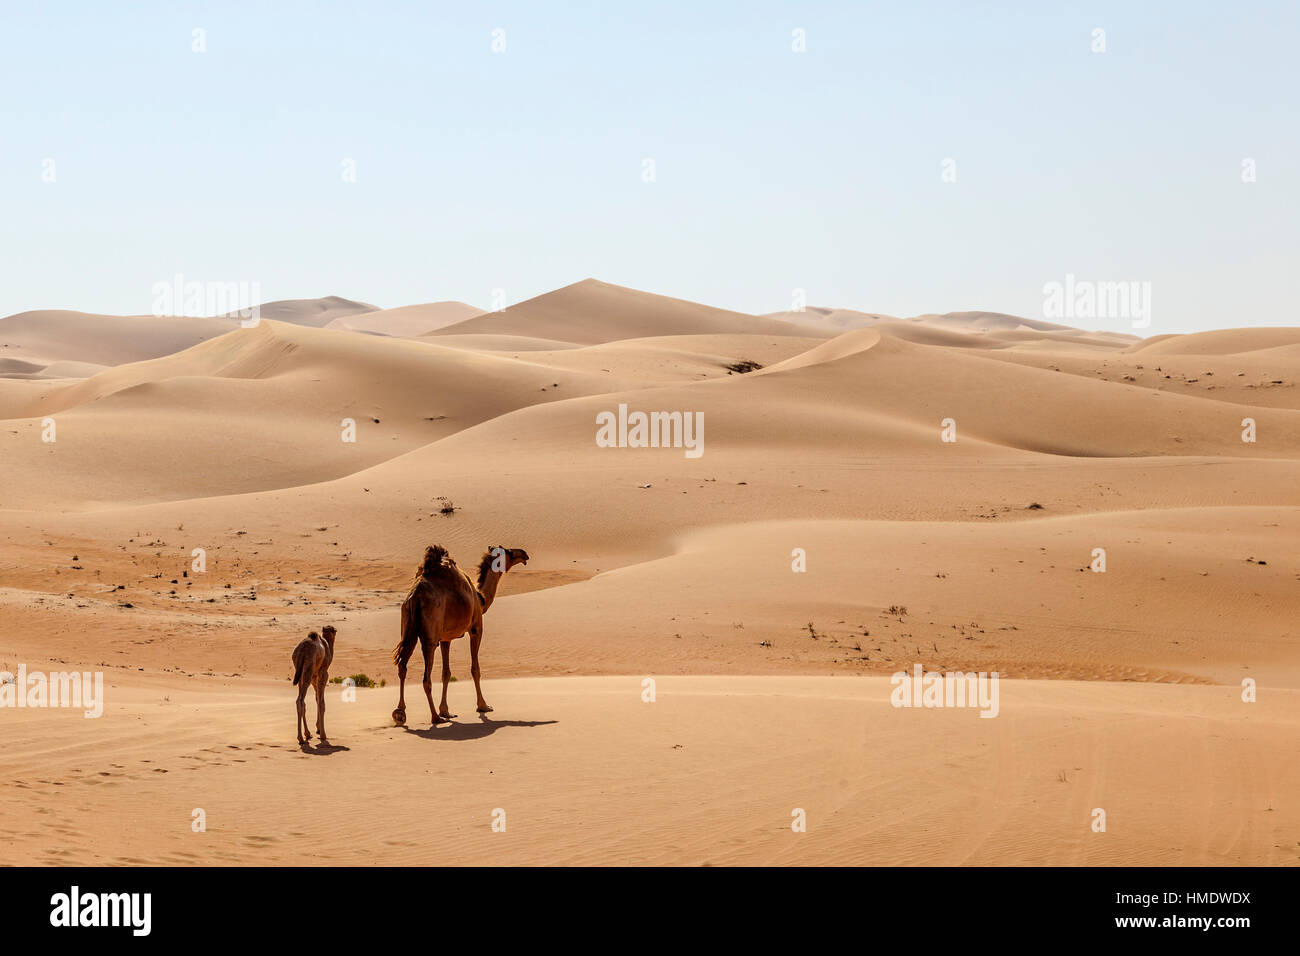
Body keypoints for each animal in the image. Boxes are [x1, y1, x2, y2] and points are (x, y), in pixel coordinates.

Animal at [391, 544, 529, 726]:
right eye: (509, 552)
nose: (524, 554)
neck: (480, 599)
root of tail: (415, 597)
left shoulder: (446, 638)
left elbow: (446, 673)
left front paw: (446, 711)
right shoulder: (476, 629)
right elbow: (475, 669)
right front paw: (483, 706)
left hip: (408, 628)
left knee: (402, 666)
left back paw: (400, 714)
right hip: (429, 637)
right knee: (426, 678)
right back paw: (435, 717)